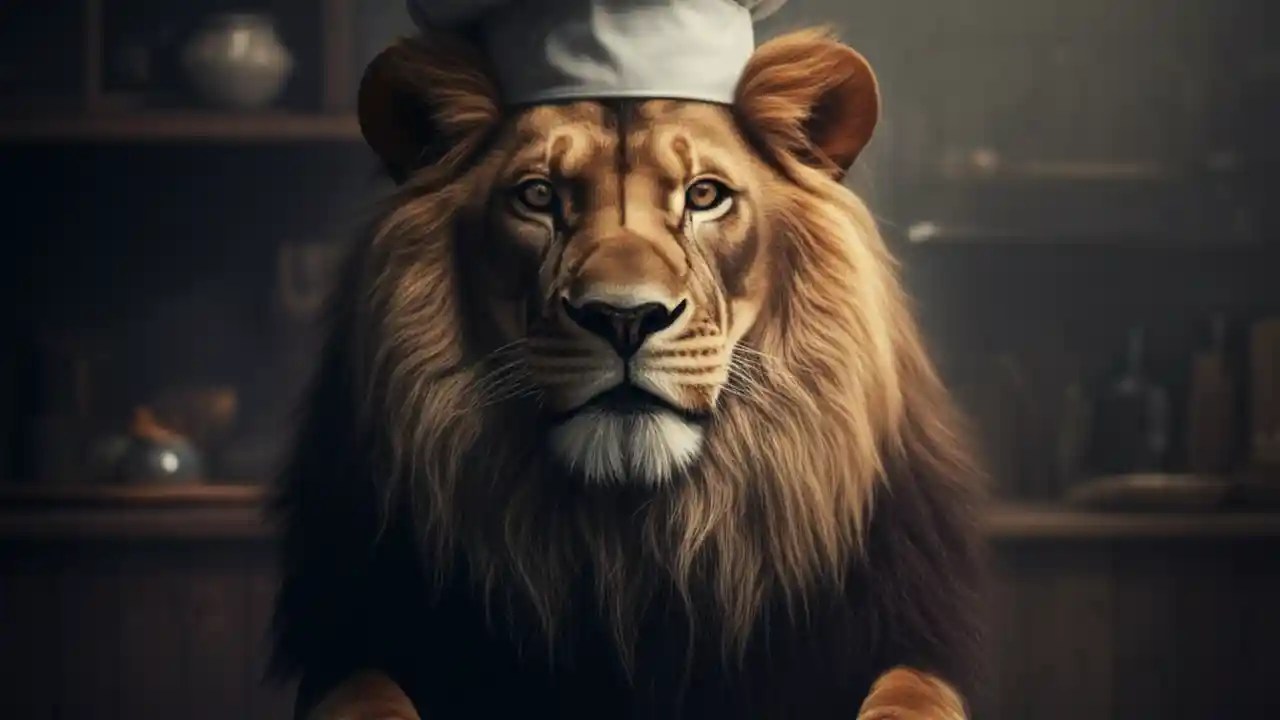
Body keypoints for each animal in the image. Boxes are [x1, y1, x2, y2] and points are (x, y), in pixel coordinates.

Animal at [270, 26, 987, 720]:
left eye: (705, 196)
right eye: (538, 196)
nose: (625, 318)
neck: (631, 549)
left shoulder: (896, 637)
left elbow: (913, 694)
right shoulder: (352, 644)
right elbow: (367, 696)